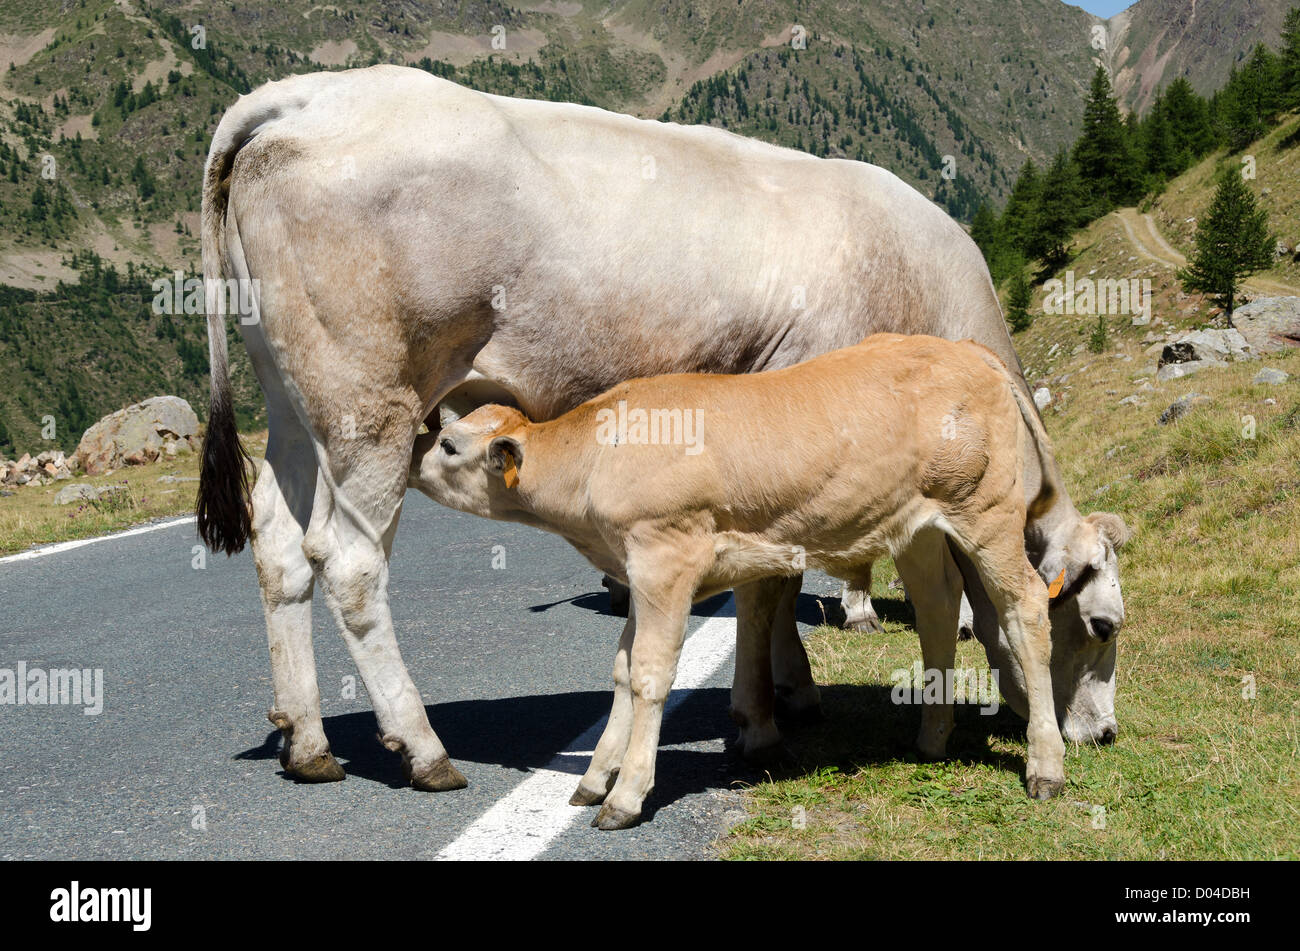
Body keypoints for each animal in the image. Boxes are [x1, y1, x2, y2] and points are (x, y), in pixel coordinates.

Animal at [407, 334, 1073, 828]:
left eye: (448, 444)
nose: (409, 460)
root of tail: (967, 348)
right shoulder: (636, 569)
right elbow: (622, 671)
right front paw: (594, 778)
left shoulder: (666, 558)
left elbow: (650, 676)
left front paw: (627, 795)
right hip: (920, 524)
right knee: (937, 608)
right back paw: (932, 738)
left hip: (987, 510)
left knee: (1024, 607)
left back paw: (1045, 766)